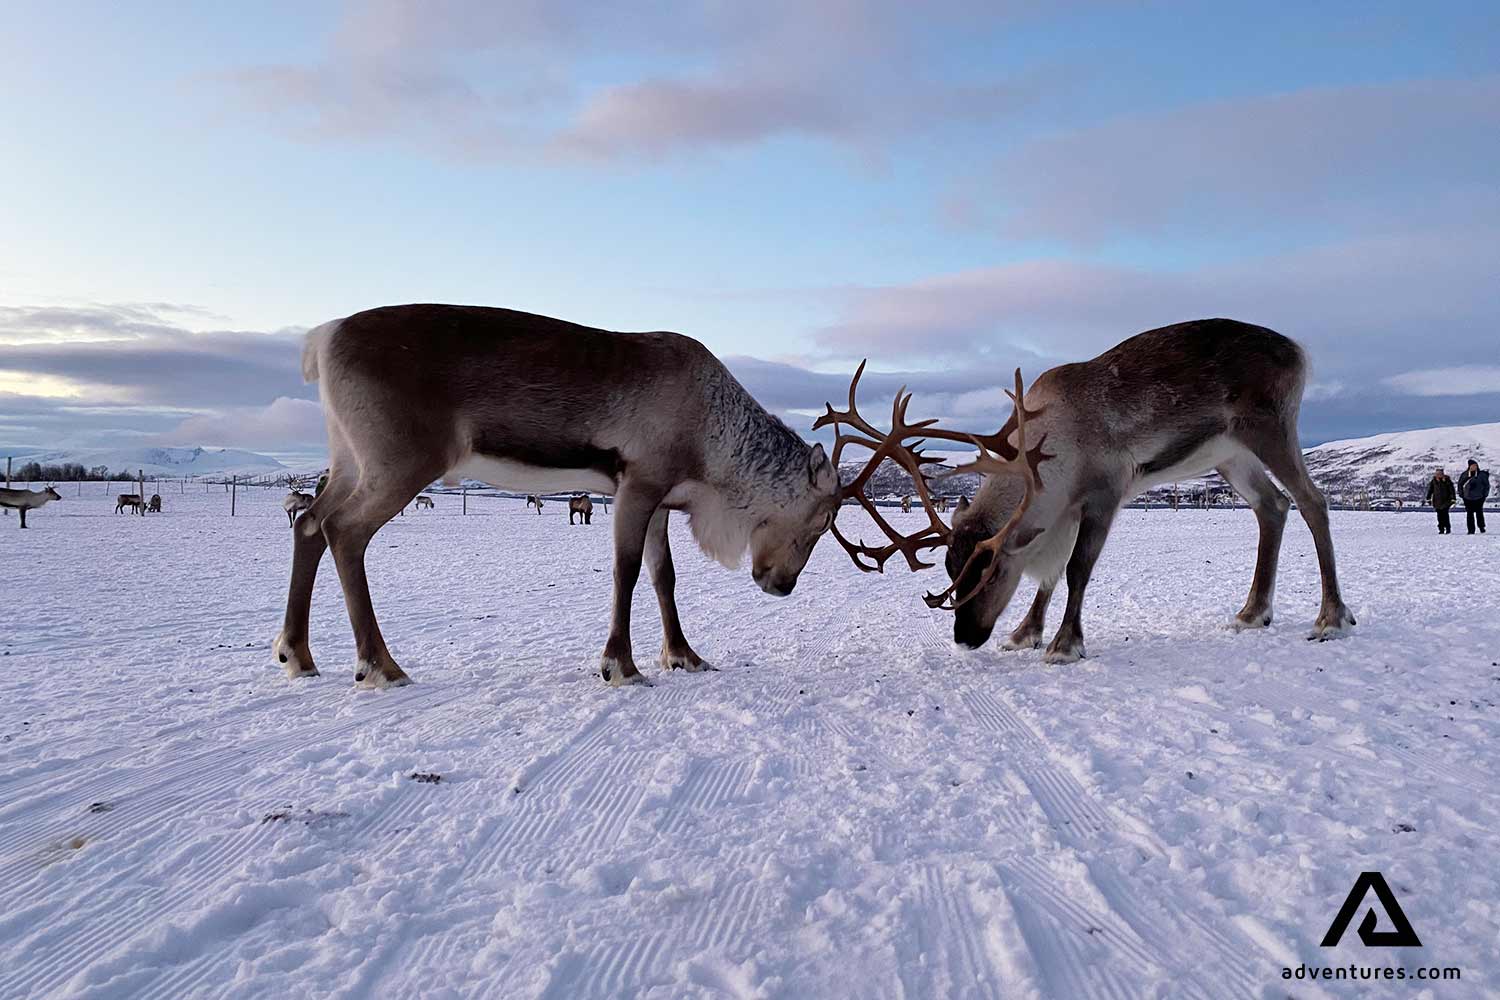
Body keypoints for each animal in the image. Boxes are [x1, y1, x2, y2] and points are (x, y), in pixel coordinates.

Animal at [274, 303, 840, 689]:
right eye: (820, 521)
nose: (782, 586)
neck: (711, 439)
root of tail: (322, 339)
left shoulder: (659, 499)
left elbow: (664, 577)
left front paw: (685, 656)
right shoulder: (637, 484)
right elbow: (626, 571)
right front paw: (621, 666)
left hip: (349, 459)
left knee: (310, 522)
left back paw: (297, 655)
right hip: (399, 462)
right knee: (343, 530)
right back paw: (380, 666)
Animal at [818, 318, 1355, 663]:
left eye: (990, 572)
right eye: (951, 569)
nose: (965, 637)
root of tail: (1298, 350)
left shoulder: (1105, 490)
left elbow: (1077, 569)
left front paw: (1063, 645)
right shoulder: (1062, 510)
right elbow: (1050, 573)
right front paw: (1025, 633)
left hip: (1269, 427)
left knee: (1312, 501)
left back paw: (1331, 618)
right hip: (1228, 455)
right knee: (1273, 506)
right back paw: (1252, 612)